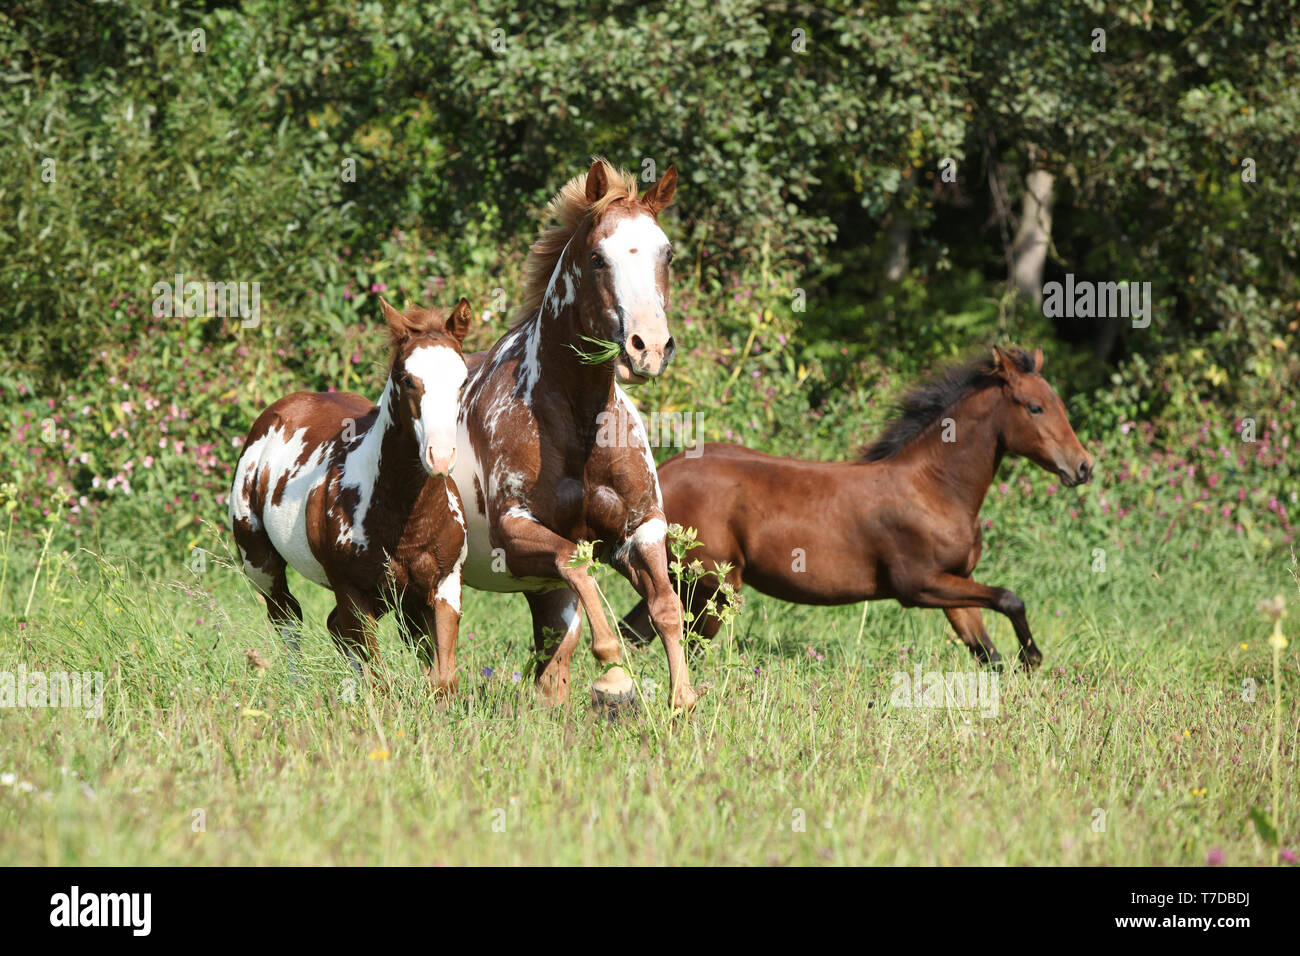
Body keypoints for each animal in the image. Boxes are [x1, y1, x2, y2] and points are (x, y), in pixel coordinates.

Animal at [229, 298, 472, 693]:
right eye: (408, 380)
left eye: (462, 380)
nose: (441, 456)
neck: (407, 517)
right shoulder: (352, 590)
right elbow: (380, 680)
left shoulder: (443, 585)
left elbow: (442, 677)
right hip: (259, 562)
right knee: (287, 616)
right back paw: (298, 684)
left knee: (334, 628)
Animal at [451, 158, 703, 710]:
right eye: (596, 258)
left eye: (668, 253)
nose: (650, 348)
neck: (578, 426)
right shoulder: (514, 532)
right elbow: (577, 560)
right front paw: (614, 674)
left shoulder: (639, 530)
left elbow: (665, 606)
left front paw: (683, 701)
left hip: (541, 588)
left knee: (553, 658)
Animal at [621, 346, 1093, 670]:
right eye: (1035, 407)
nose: (1082, 466)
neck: (933, 488)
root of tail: (660, 478)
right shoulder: (919, 585)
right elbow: (1011, 599)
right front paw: (1032, 656)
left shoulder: (955, 583)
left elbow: (987, 653)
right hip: (712, 589)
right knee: (685, 646)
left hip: (681, 582)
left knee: (637, 633)